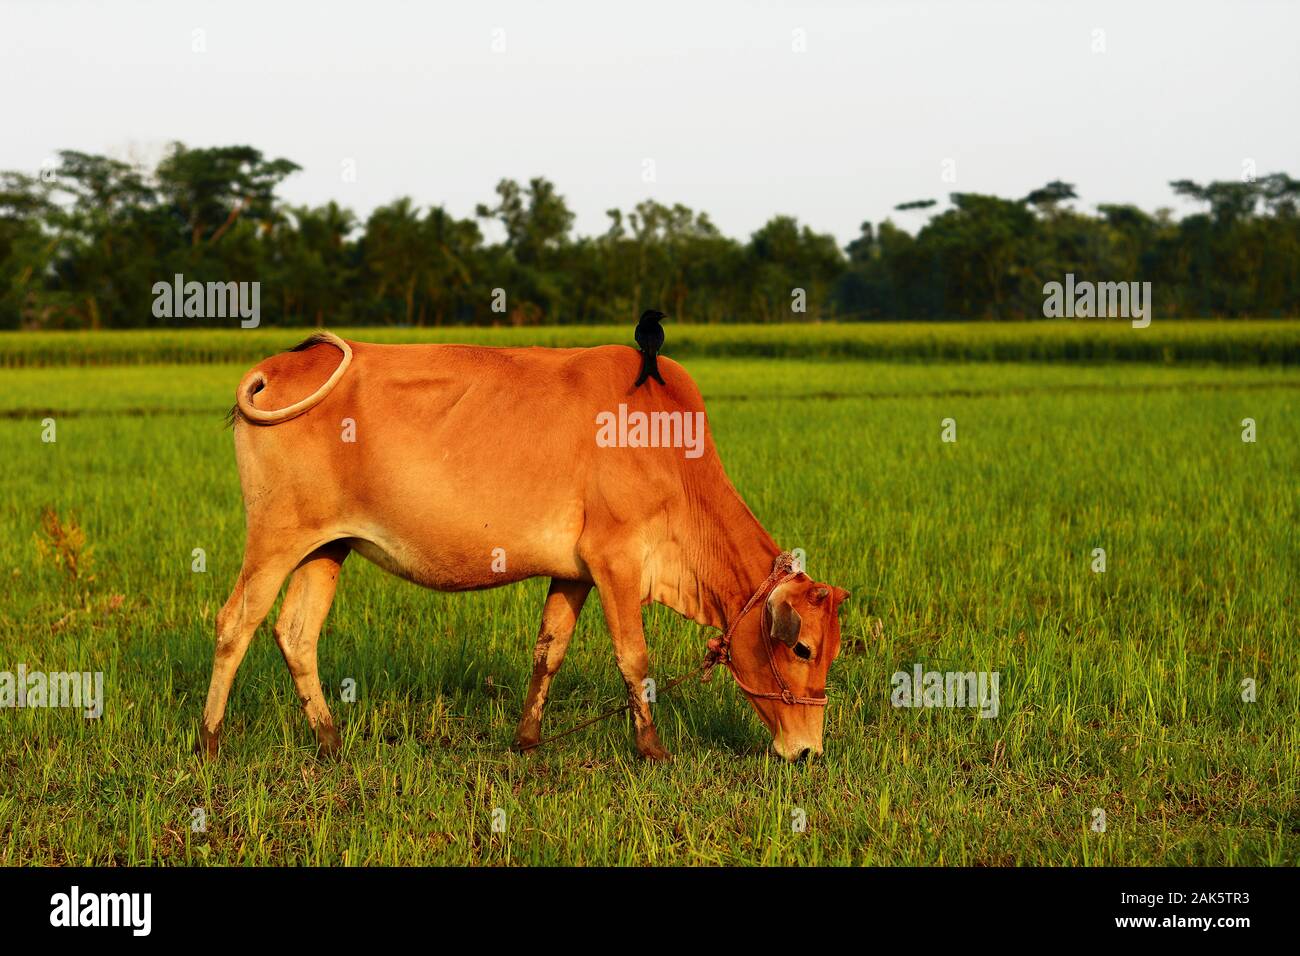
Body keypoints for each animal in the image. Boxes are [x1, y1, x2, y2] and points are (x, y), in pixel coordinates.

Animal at [200, 332, 849, 761]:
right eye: (802, 649)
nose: (809, 751)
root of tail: (281, 364)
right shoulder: (616, 559)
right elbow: (634, 658)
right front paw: (653, 750)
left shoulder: (576, 571)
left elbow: (548, 651)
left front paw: (527, 740)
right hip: (276, 535)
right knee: (236, 622)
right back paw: (210, 741)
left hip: (326, 546)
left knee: (295, 633)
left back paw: (331, 741)